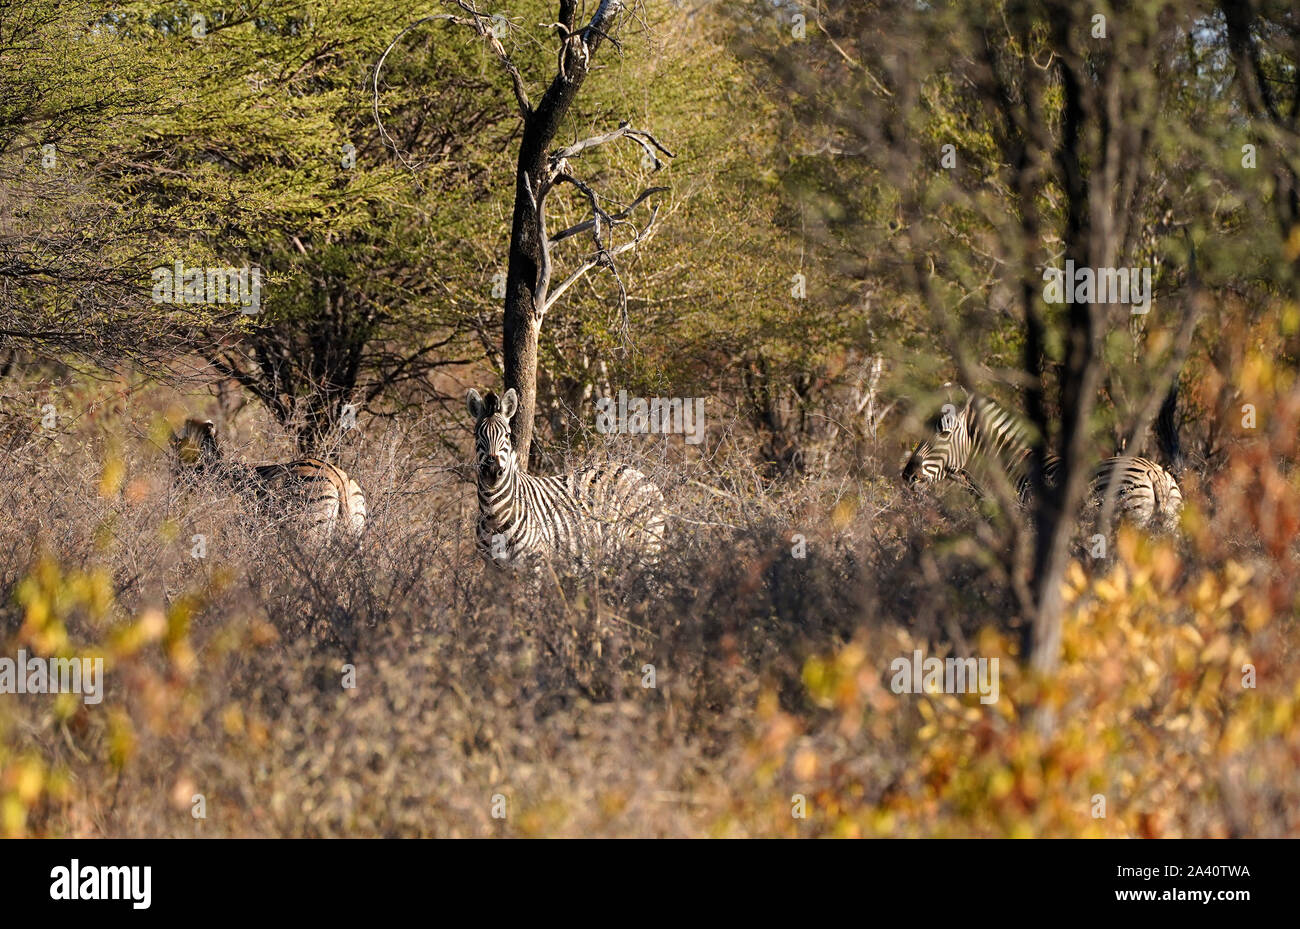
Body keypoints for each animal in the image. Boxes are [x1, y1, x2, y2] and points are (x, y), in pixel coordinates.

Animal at [467, 387, 666, 567]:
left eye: (507, 435)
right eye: (476, 435)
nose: (492, 471)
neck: (494, 516)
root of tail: (637, 472)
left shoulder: (536, 564)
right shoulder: (493, 570)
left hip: (647, 546)